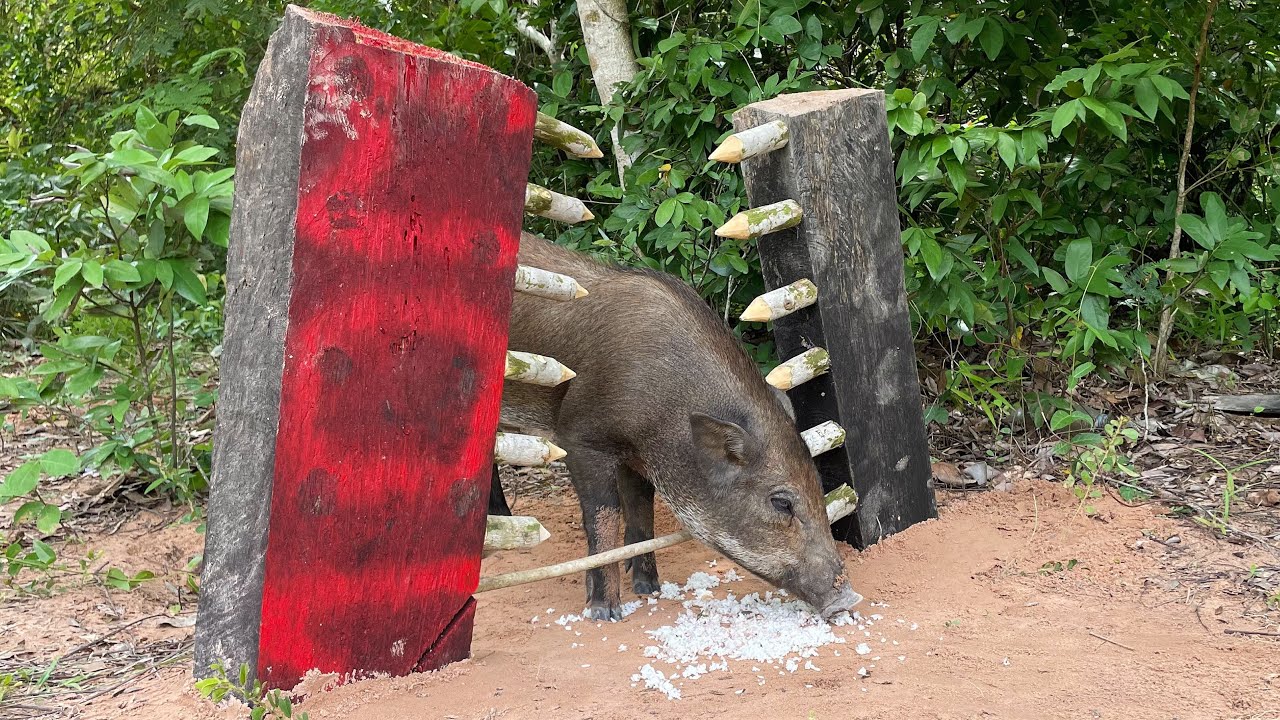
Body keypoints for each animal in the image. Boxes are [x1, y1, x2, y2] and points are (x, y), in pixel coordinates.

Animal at [491, 231, 861, 621]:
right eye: (781, 503)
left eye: (818, 484)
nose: (848, 598)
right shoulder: (580, 439)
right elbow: (604, 516)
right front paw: (606, 612)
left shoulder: (635, 456)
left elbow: (642, 510)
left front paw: (649, 588)